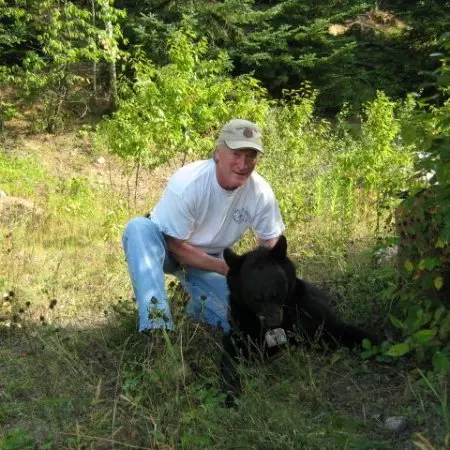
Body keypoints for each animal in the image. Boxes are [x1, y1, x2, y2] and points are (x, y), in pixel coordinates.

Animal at [221, 234, 380, 402]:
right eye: (255, 298)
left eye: (276, 293)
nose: (272, 321)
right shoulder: (242, 323)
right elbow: (234, 353)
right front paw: (229, 392)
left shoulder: (307, 313)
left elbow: (337, 329)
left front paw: (379, 343)